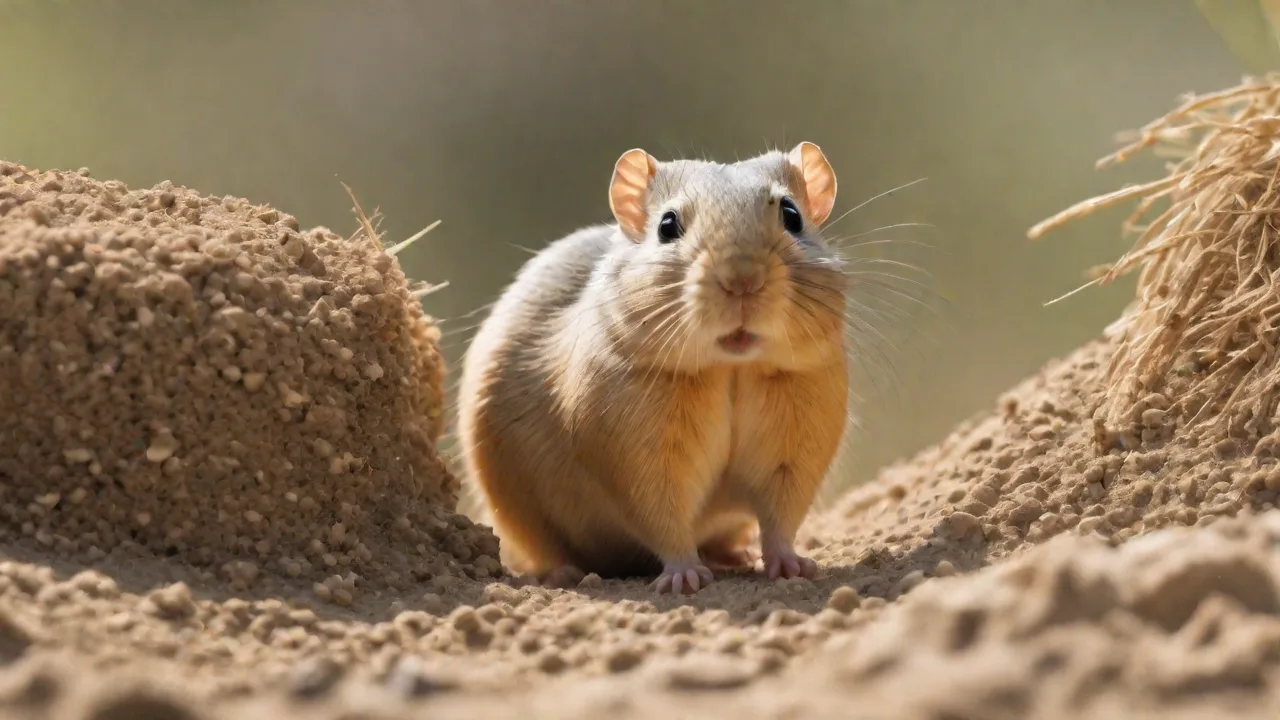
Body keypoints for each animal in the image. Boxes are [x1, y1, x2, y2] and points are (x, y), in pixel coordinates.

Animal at [457, 142, 850, 594]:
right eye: (667, 225)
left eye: (791, 215)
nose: (742, 280)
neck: (730, 368)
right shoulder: (641, 462)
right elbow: (666, 523)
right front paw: (684, 579)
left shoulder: (796, 452)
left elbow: (780, 521)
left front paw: (792, 567)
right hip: (517, 513)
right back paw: (565, 574)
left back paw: (734, 554)